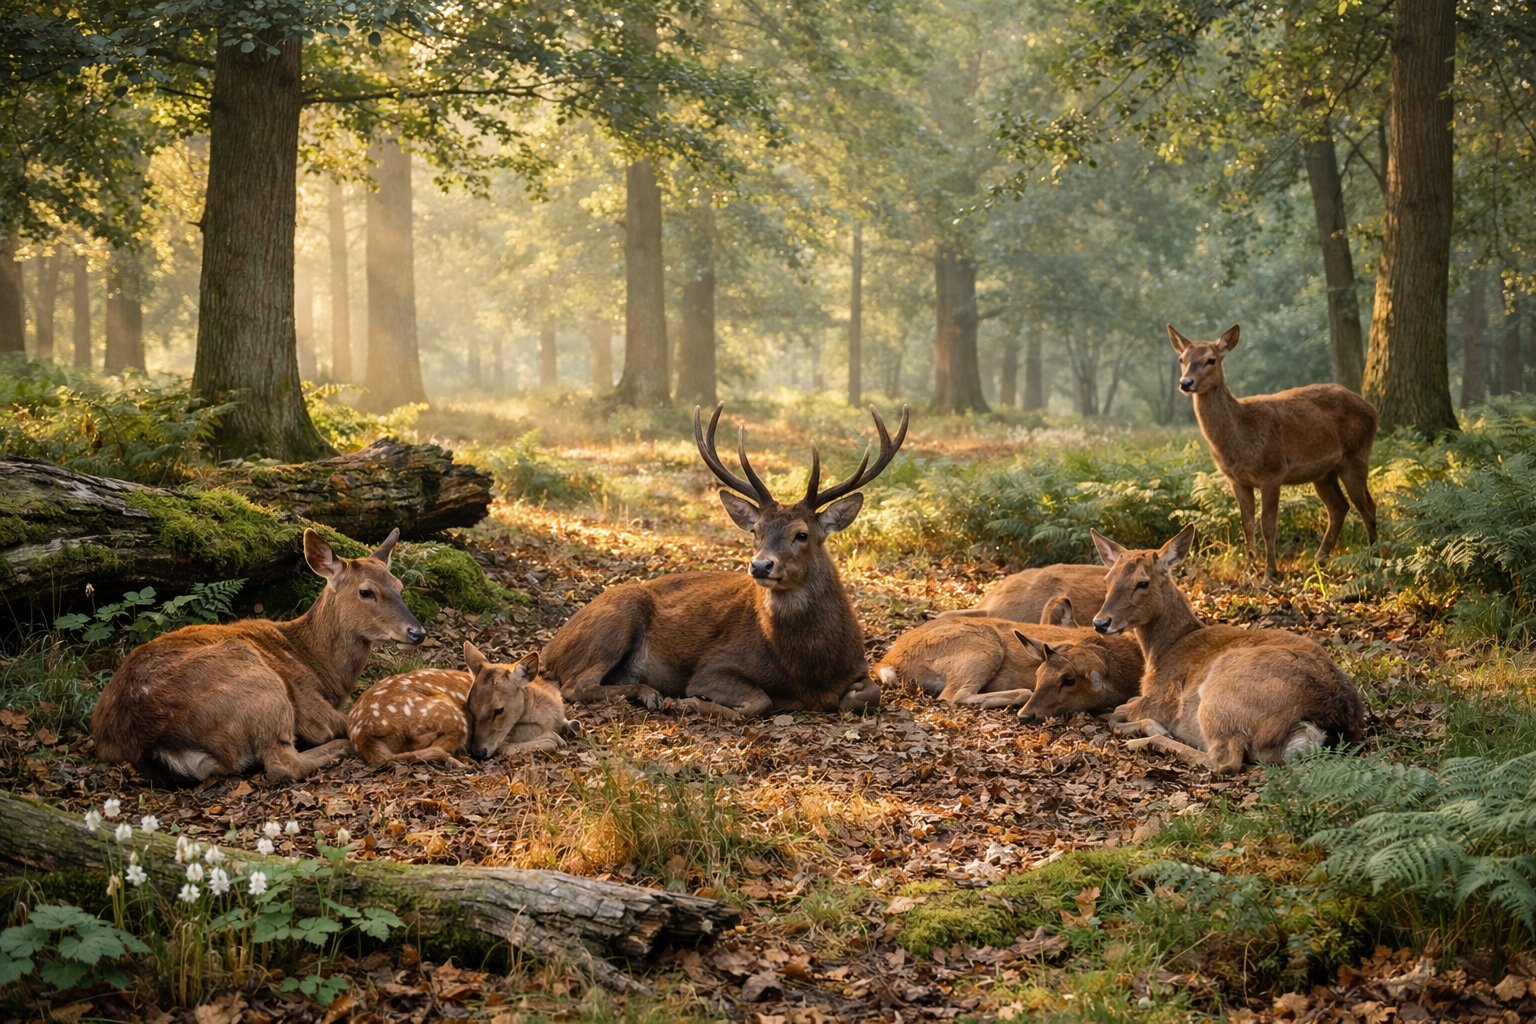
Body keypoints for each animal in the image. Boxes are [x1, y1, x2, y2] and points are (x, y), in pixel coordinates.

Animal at [92, 528, 426, 787]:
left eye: (399, 586)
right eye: (366, 592)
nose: (417, 632)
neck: (317, 662)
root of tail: (151, 743)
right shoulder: (309, 705)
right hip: (260, 685)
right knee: (282, 765)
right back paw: (341, 747)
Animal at [347, 641, 572, 767]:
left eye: (498, 710)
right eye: (471, 708)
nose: (478, 752)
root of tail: (362, 735)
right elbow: (510, 746)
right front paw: (555, 738)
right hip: (451, 715)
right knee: (438, 748)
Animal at [540, 402, 909, 719]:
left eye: (801, 534)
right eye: (756, 530)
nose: (760, 565)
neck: (810, 669)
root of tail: (550, 650)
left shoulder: (859, 666)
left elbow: (868, 695)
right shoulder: (714, 666)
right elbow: (758, 701)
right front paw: (684, 702)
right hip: (618, 615)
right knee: (576, 685)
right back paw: (649, 693)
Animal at [1089, 524, 1365, 773]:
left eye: (1143, 583)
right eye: (1107, 579)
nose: (1100, 622)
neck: (1163, 650)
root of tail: (1322, 720)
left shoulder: (1160, 698)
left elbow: (1118, 711)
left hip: (1220, 698)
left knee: (1225, 761)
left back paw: (1148, 738)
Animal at [1169, 323, 1378, 581]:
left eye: (1211, 360)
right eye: (1182, 359)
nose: (1185, 383)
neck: (1239, 435)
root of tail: (1372, 409)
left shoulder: (1273, 472)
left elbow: (1267, 524)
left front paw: (1270, 572)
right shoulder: (1236, 480)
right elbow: (1247, 524)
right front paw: (1249, 570)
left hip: (1356, 455)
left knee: (1368, 507)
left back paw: (1374, 560)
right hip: (1323, 473)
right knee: (1339, 507)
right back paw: (1320, 560)